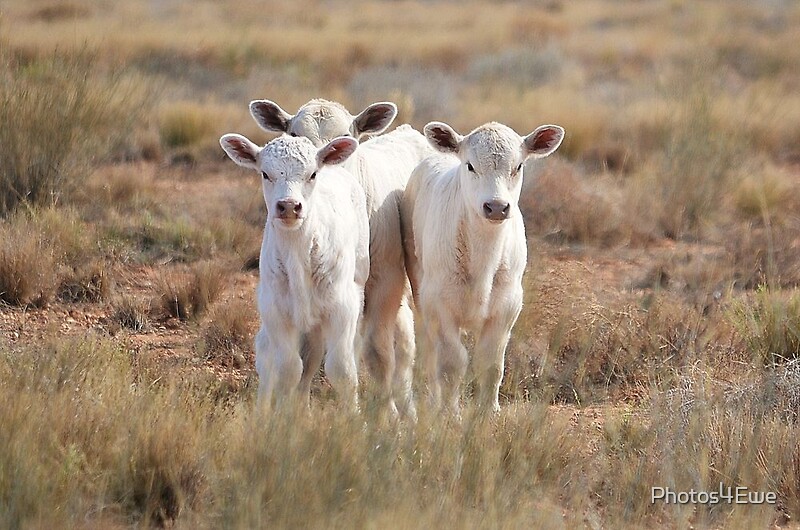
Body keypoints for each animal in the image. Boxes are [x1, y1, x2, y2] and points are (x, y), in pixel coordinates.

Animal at [219, 132, 369, 411]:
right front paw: (282, 417)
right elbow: (288, 369)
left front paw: (354, 418)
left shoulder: (342, 307)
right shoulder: (275, 310)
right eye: (265, 174)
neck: (298, 257)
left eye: (312, 174)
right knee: (271, 355)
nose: (289, 206)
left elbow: (342, 370)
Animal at [401, 120, 564, 413]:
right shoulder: (438, 303)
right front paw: (451, 412)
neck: (483, 262)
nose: (496, 207)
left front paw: (489, 411)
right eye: (470, 166)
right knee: (431, 354)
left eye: (518, 166)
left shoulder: (507, 304)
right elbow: (452, 362)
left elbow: (491, 364)